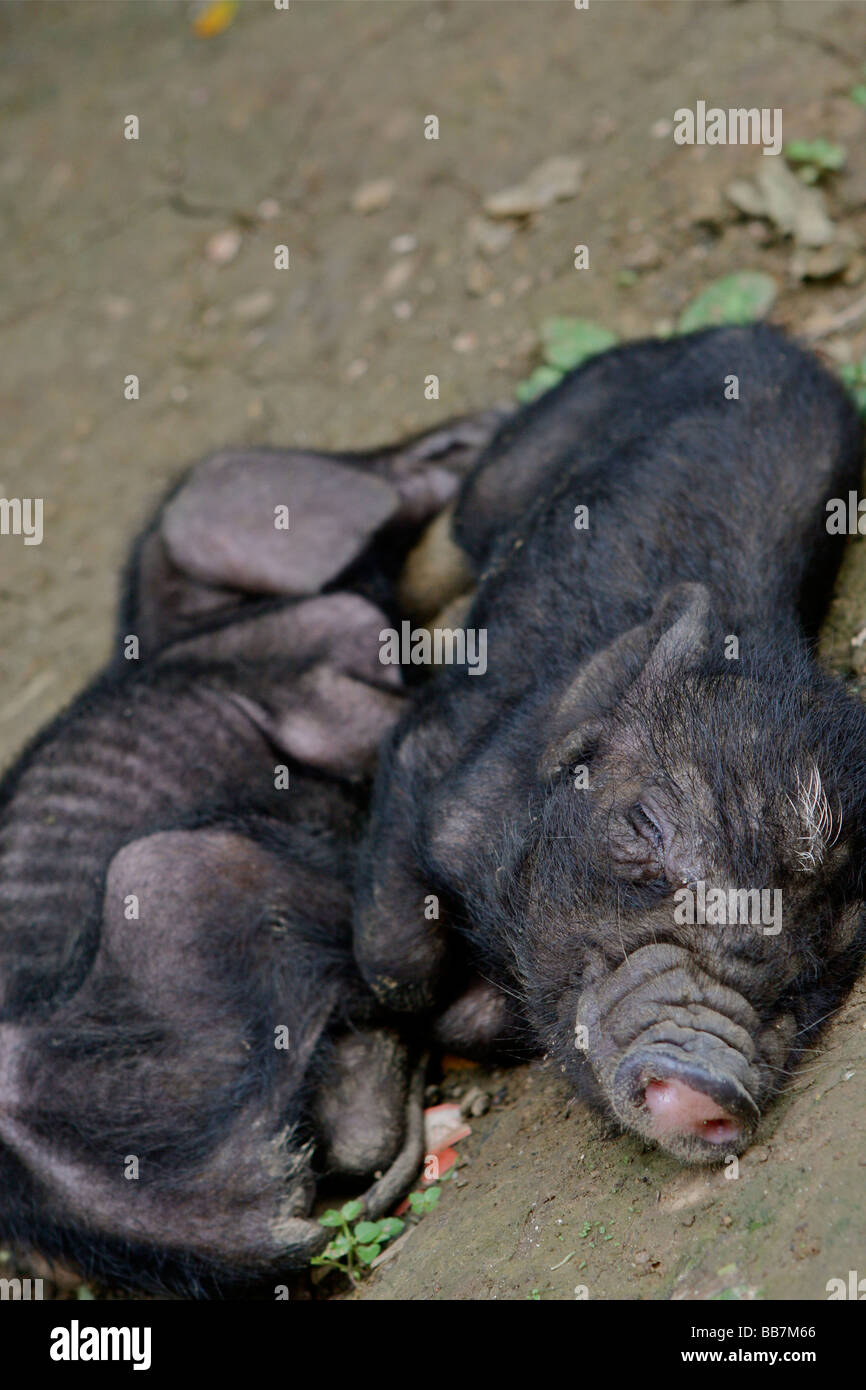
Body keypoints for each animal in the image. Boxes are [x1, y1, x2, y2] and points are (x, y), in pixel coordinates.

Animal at [354, 323, 866, 1164]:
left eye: (834, 939)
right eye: (646, 827)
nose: (712, 1079)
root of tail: (757, 333)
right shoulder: (427, 763)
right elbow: (397, 962)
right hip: (552, 424)